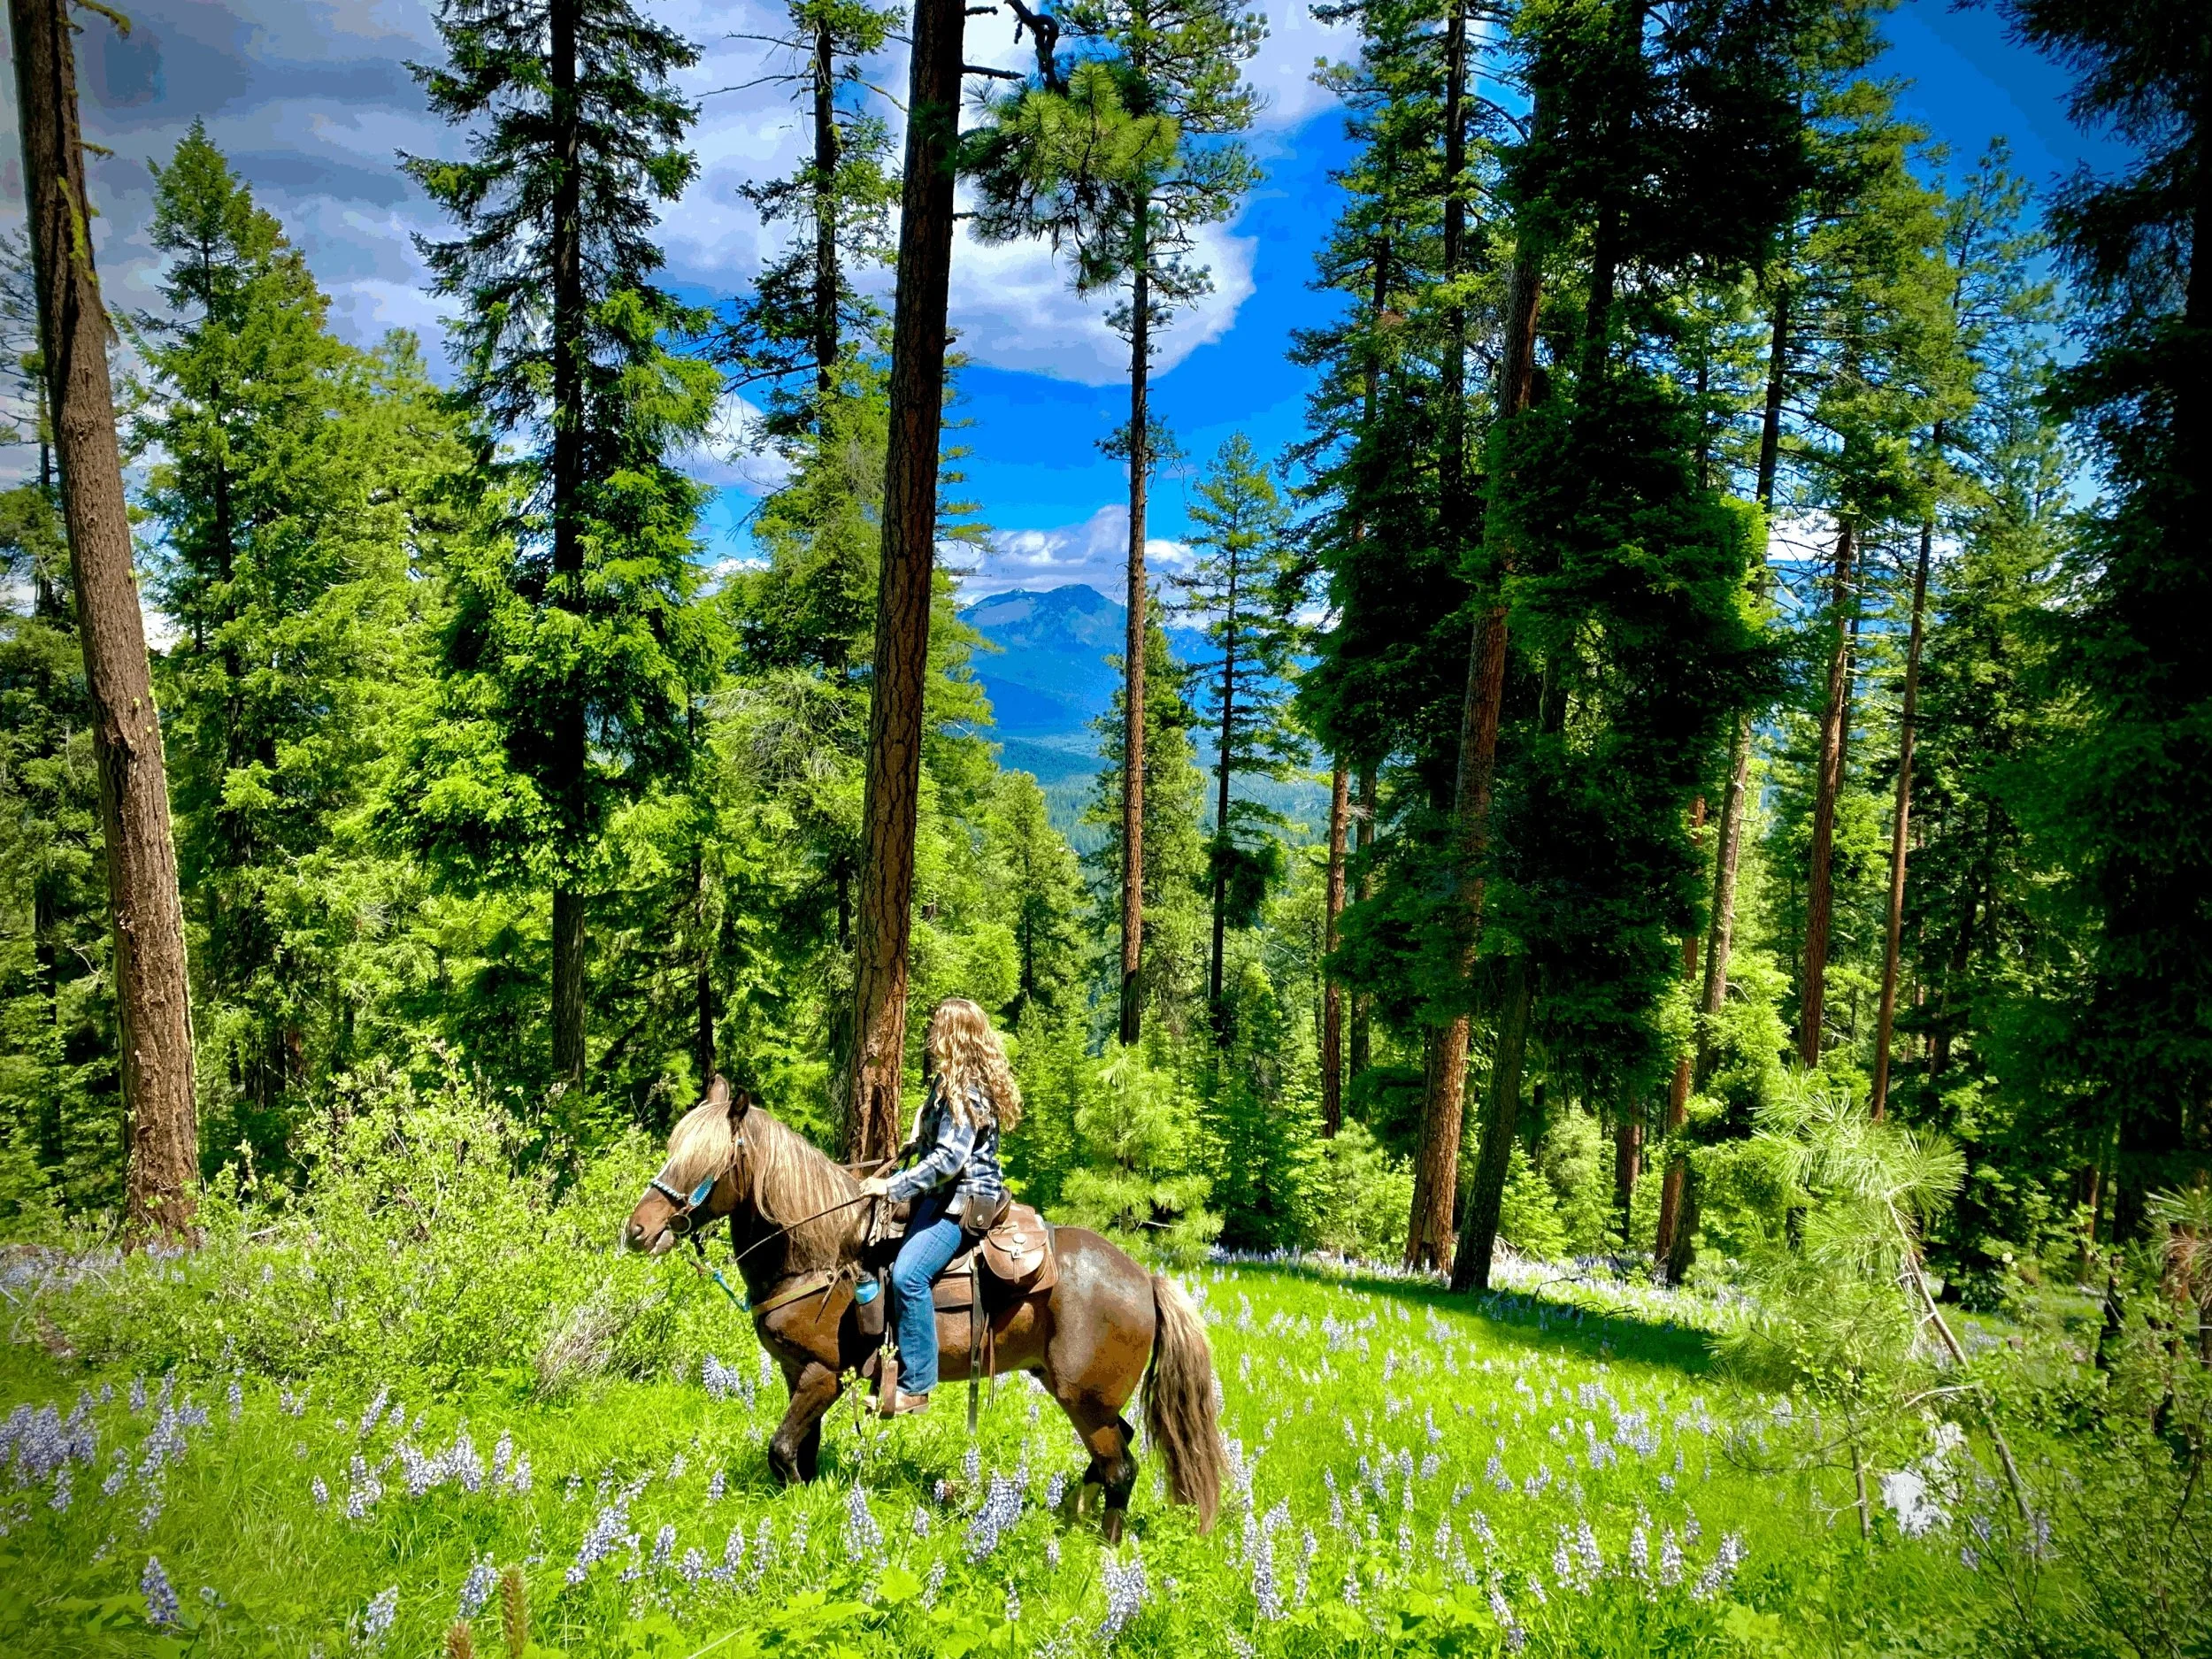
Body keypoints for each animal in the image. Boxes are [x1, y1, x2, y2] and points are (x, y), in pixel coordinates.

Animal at [620, 1077, 1223, 1541]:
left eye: (710, 1161)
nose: (638, 1231)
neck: (820, 1252)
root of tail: (1145, 1278)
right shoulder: (801, 1375)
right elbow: (803, 1451)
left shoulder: (822, 1376)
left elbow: (782, 1449)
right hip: (1079, 1394)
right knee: (1115, 1454)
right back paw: (1070, 1518)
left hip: (1085, 1399)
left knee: (1121, 1468)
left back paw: (1103, 1553)